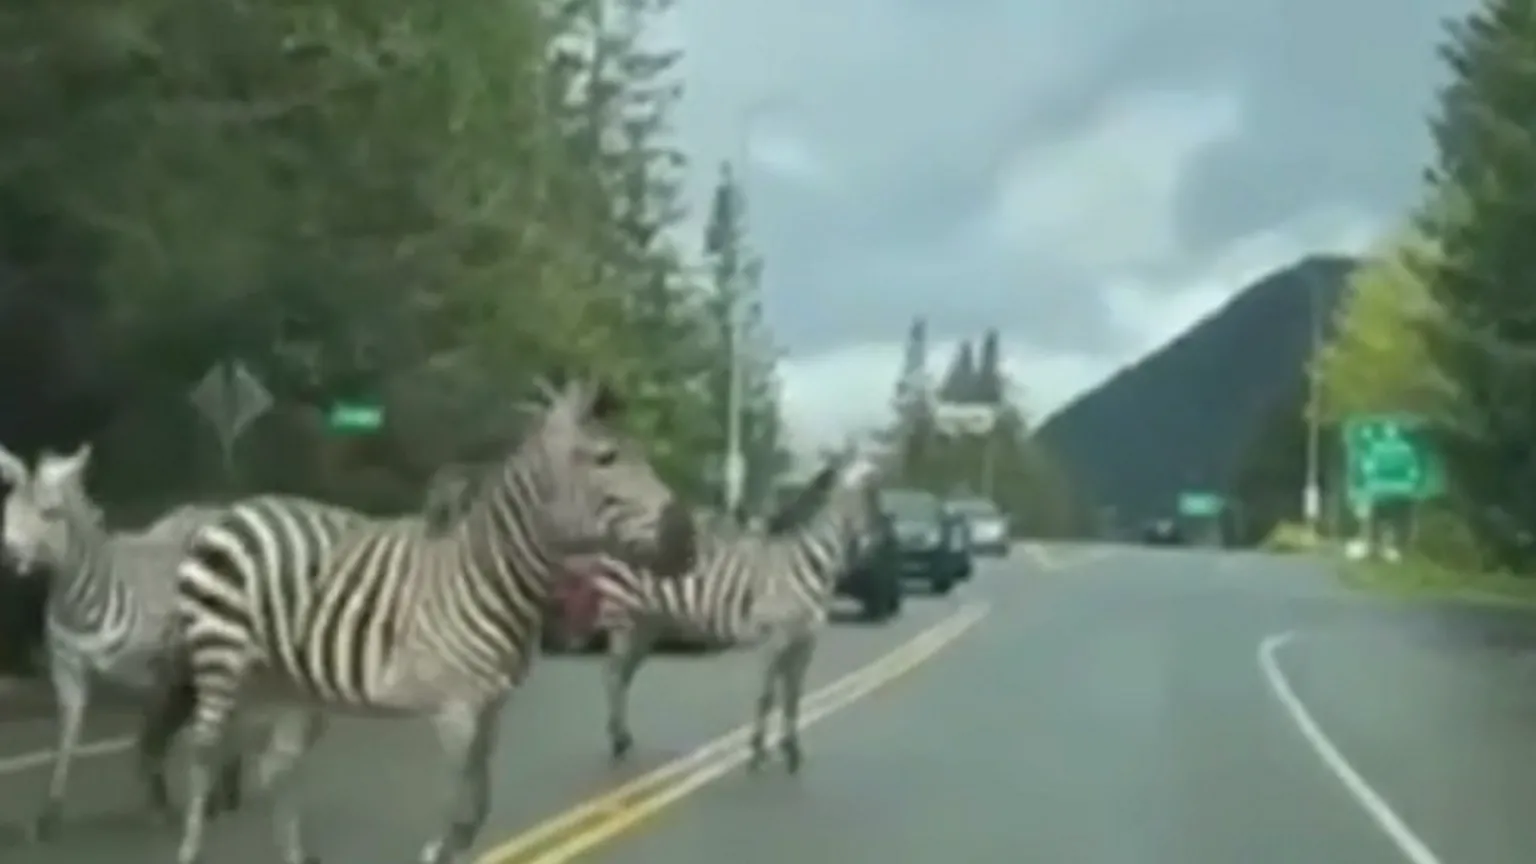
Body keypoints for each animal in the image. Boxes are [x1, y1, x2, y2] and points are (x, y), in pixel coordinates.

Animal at [0, 445, 247, 840]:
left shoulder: (155, 668)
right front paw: (48, 815)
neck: (79, 604)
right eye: (7, 510)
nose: (8, 555)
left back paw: (223, 792)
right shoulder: (67, 669)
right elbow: (68, 739)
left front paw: (164, 801)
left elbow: (154, 735)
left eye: (49, 512)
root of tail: (214, 509)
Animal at [151, 376, 698, 864]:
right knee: (203, 751)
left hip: (292, 683)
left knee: (276, 765)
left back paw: (294, 854)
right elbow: (458, 810)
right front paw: (436, 851)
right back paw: (191, 850)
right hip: (220, 655)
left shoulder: (492, 709)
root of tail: (232, 510)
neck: (489, 580)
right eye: (606, 458)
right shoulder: (455, 710)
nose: (687, 540)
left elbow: (478, 809)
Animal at [579, 449, 883, 772]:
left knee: (623, 676)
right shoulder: (775, 639)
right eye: (851, 494)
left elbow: (793, 697)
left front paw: (791, 750)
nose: (864, 546)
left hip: (646, 626)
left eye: (873, 491)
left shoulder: (805, 643)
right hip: (623, 620)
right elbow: (767, 696)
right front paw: (757, 751)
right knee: (612, 675)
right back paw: (617, 741)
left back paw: (623, 738)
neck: (806, 566)